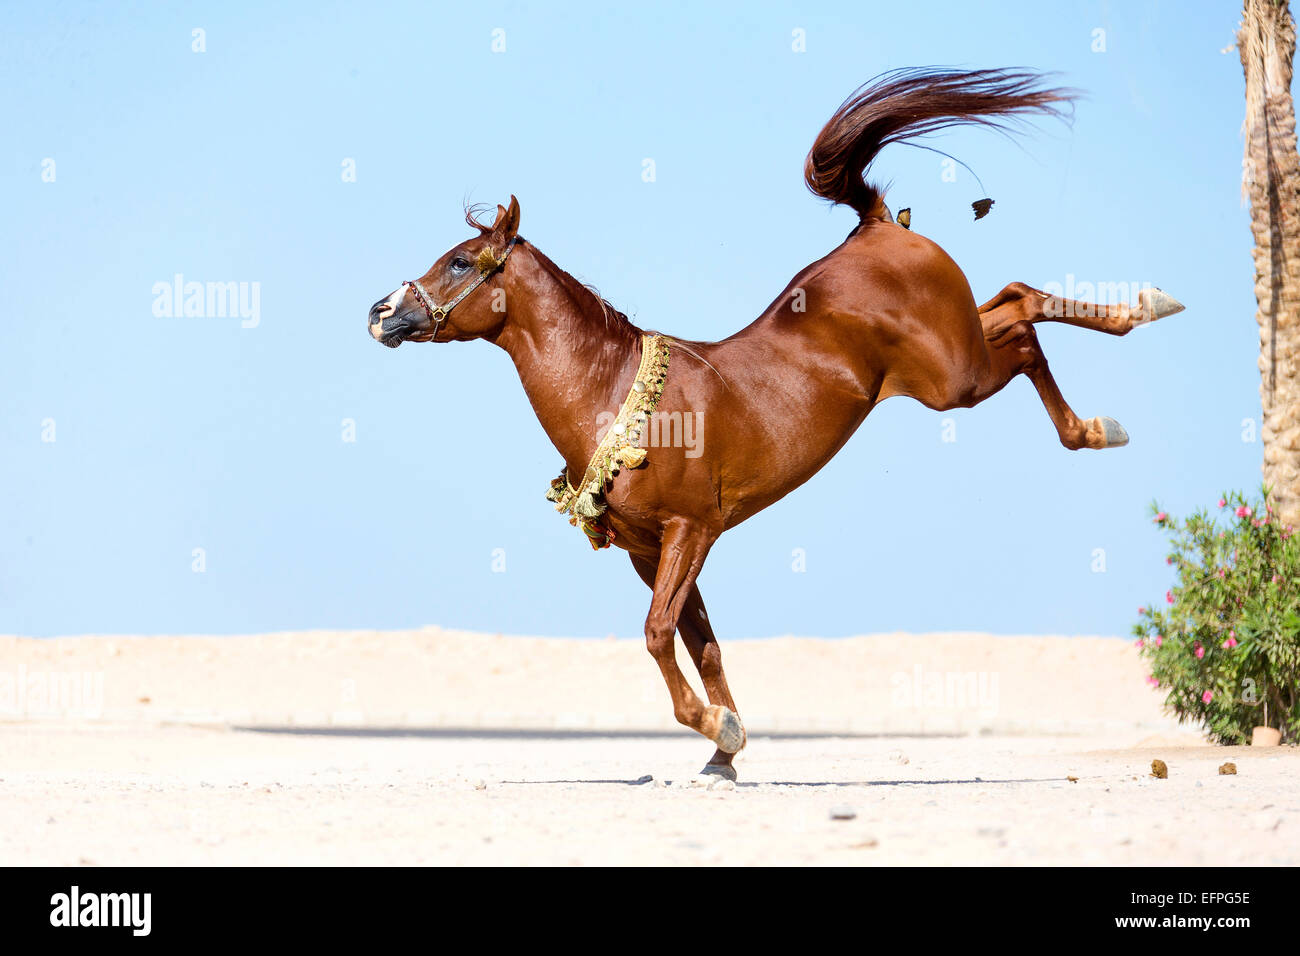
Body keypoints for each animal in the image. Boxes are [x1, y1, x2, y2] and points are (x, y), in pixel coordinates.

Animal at [366, 68, 1183, 781]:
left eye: (461, 261)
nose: (382, 313)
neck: (619, 394)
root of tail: (875, 227)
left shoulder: (690, 531)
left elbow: (659, 635)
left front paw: (719, 730)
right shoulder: (651, 551)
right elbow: (701, 644)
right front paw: (723, 750)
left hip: (959, 378)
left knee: (1023, 323)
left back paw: (1117, 376)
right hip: (949, 357)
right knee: (1013, 301)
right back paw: (1128, 345)